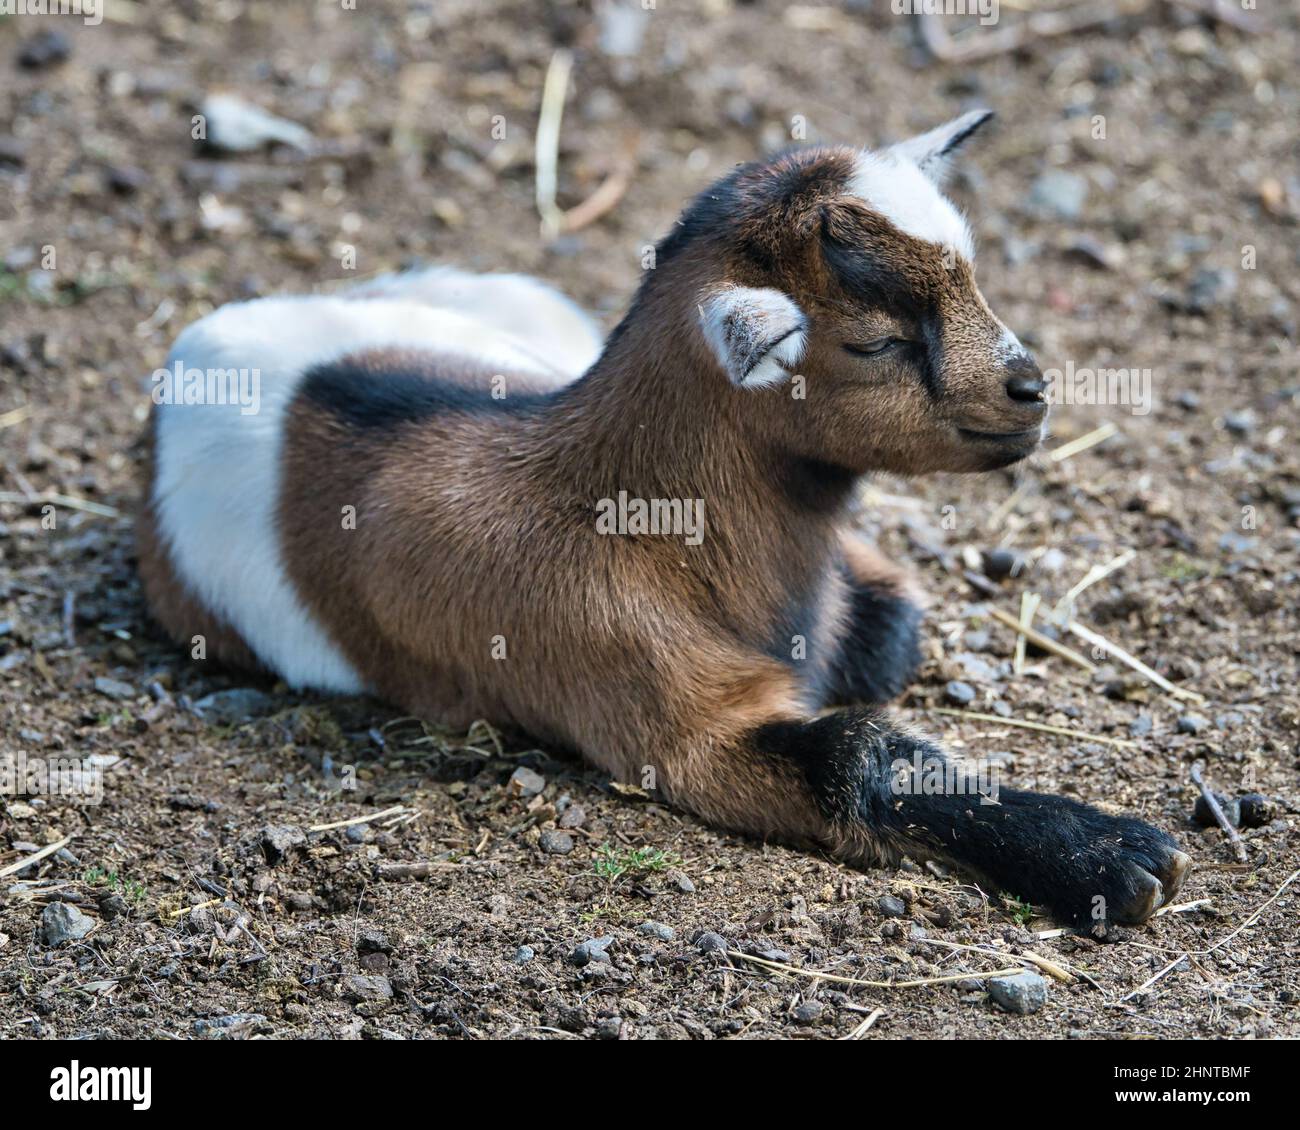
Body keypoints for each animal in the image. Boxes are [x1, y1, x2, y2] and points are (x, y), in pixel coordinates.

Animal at [140, 111, 1188, 930]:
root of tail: (196, 348)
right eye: (875, 341)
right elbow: (855, 756)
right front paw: (1115, 856)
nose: (1031, 392)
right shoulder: (669, 714)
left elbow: (889, 639)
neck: (627, 517)